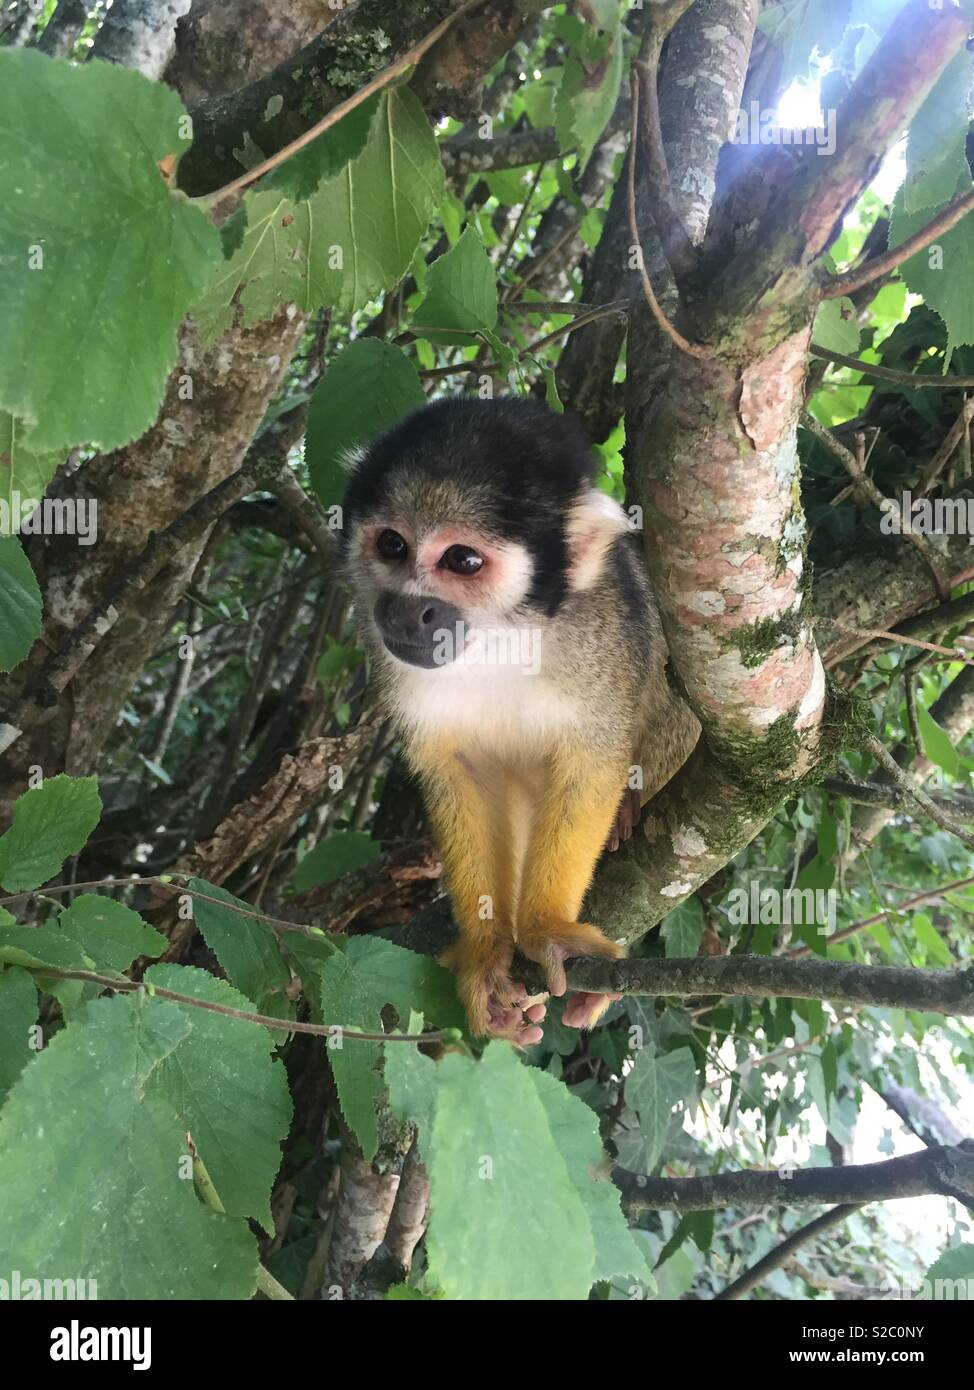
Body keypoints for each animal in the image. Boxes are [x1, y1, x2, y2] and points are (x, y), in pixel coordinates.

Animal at [342, 396, 698, 1046]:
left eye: (462, 560)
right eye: (392, 545)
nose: (406, 610)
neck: (500, 635)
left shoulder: (601, 631)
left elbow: (594, 757)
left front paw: (544, 925)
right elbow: (462, 773)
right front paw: (487, 951)